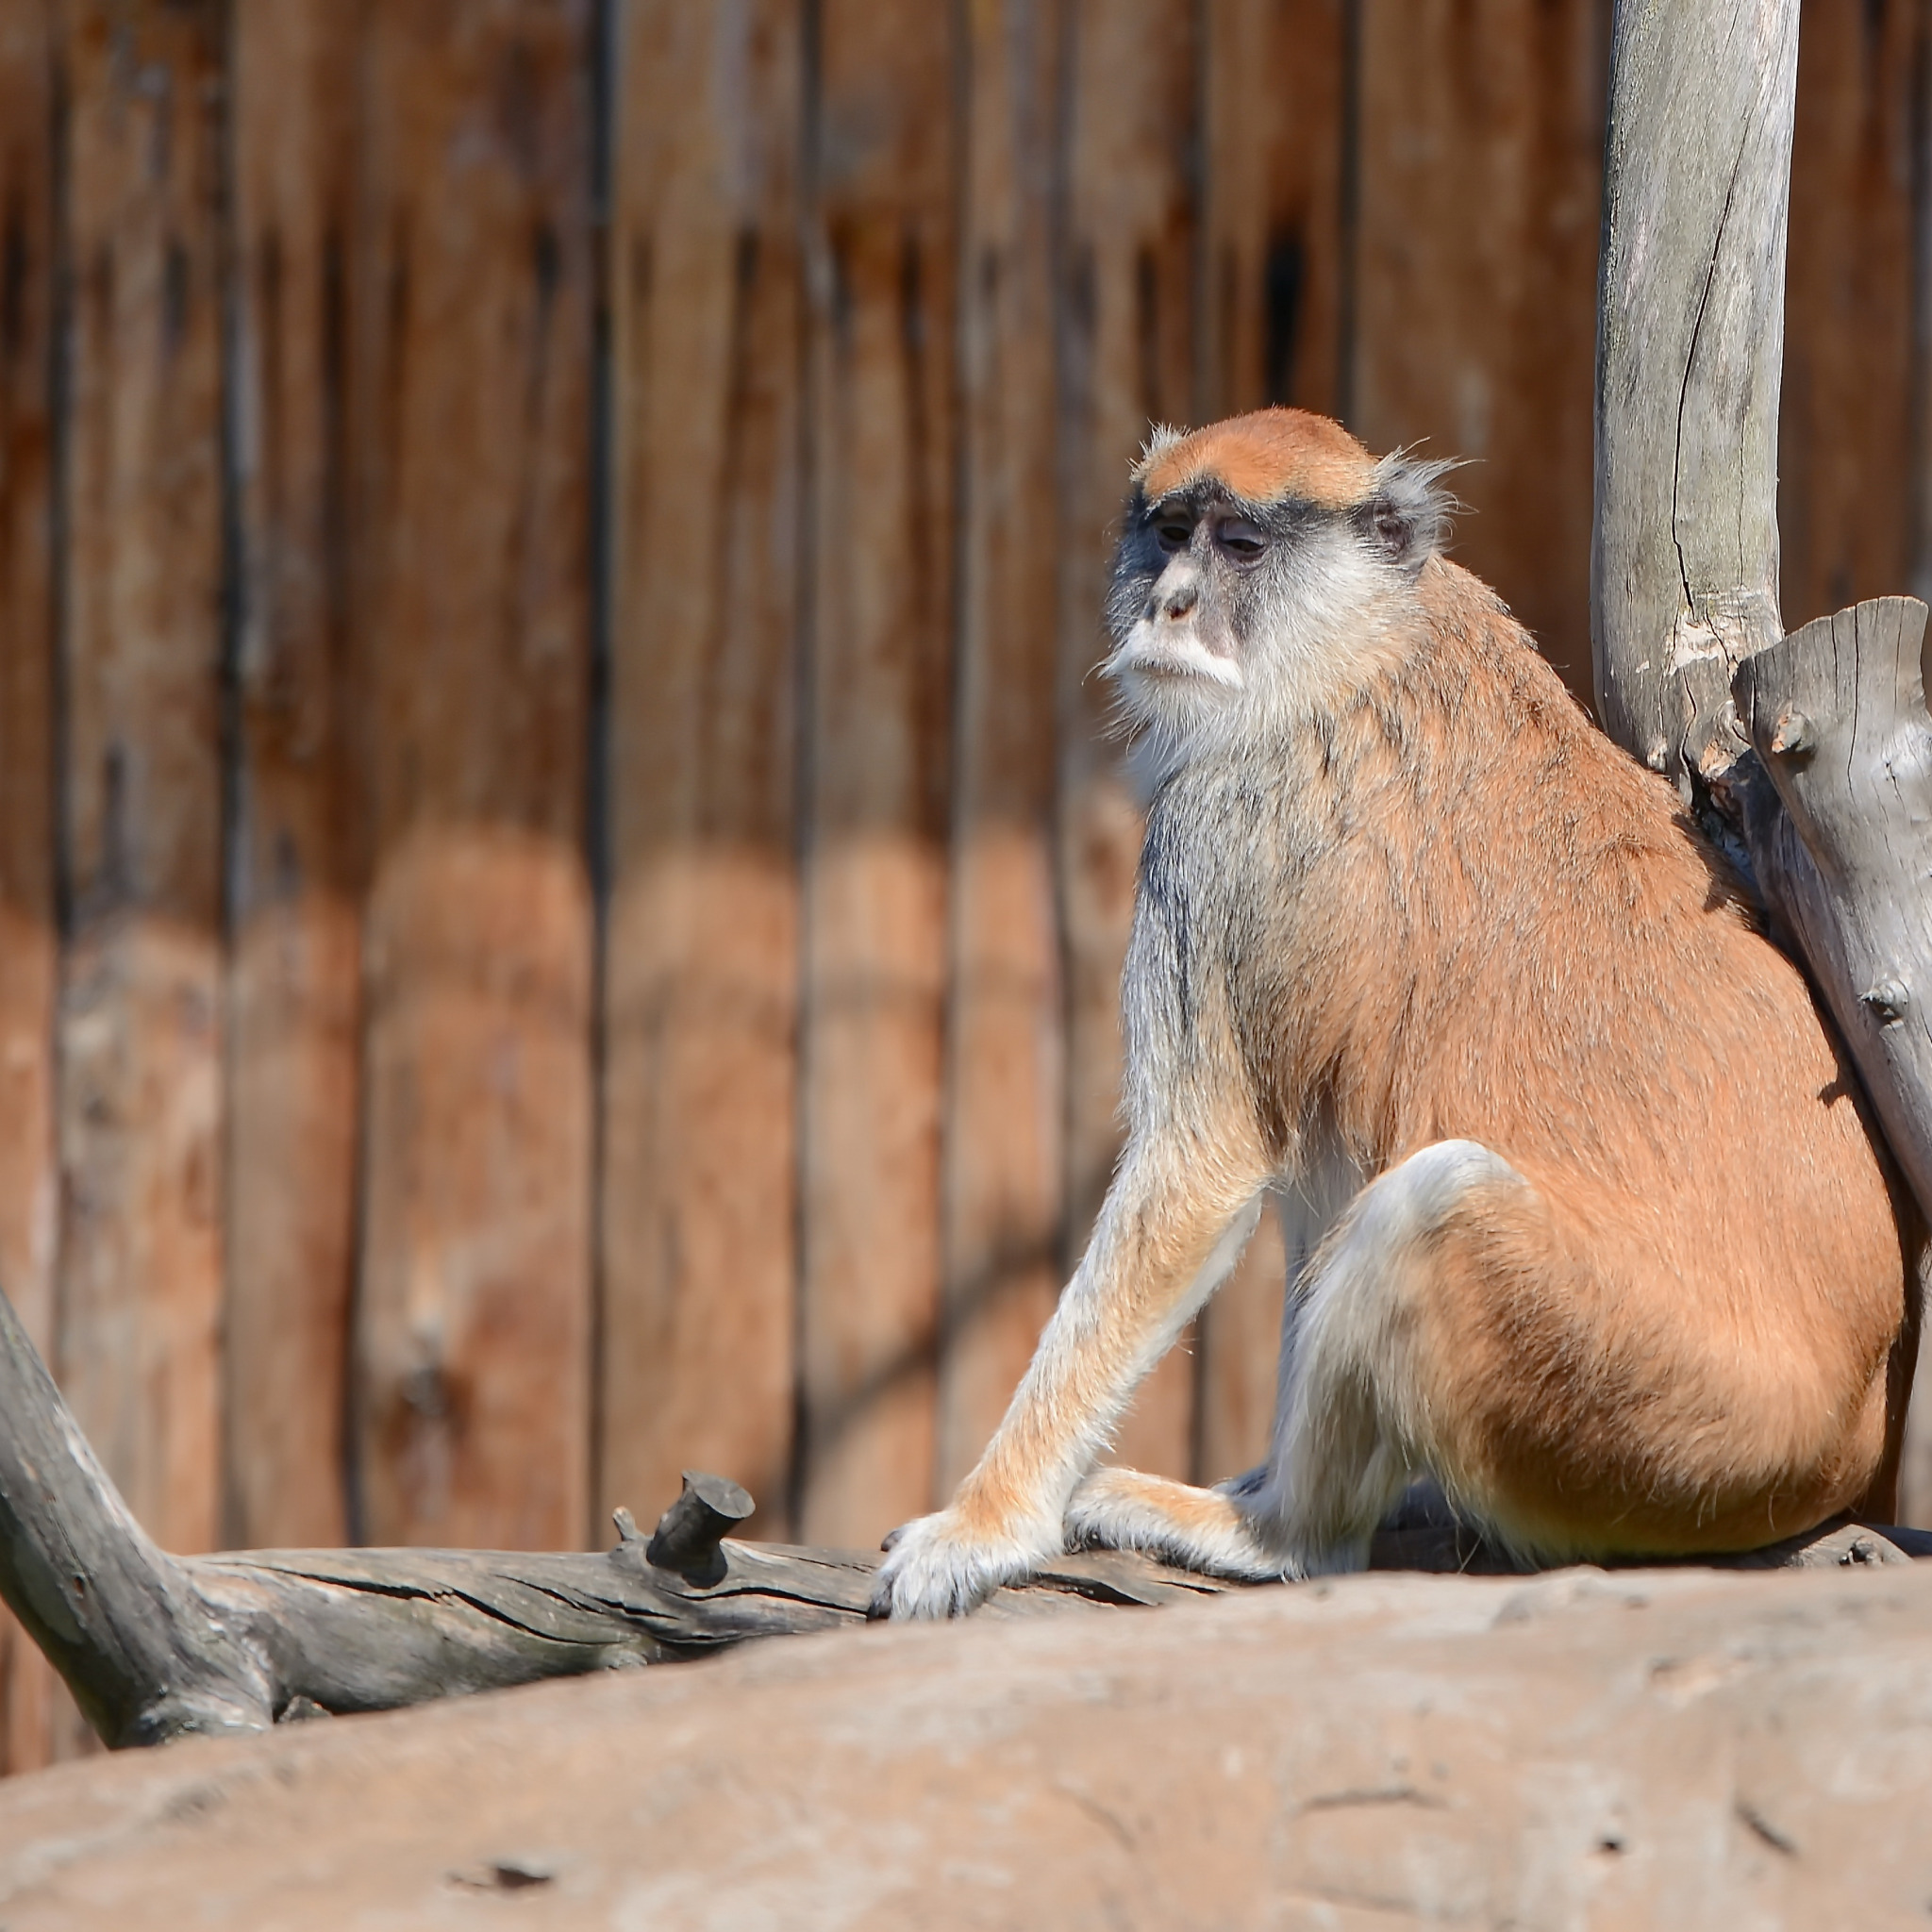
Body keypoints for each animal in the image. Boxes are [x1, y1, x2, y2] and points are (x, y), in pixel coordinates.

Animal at [871, 405, 1920, 1621]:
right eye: (1169, 530)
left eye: (1240, 546)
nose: (1166, 603)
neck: (1365, 636)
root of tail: (1855, 1427)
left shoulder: (1216, 834)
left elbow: (1195, 1173)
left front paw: (979, 1527)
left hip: (1664, 1433)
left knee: (1433, 1203)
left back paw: (1280, 1531)